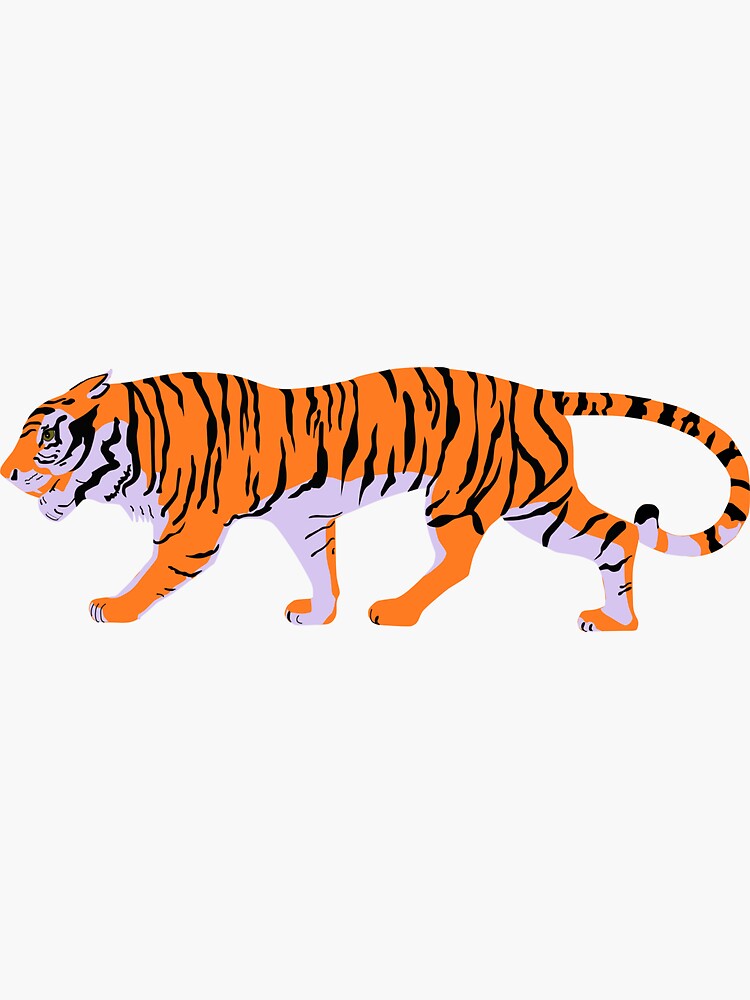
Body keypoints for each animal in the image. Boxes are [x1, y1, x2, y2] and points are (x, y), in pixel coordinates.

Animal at [2, 368, 747, 630]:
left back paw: (397, 611)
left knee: (458, 562)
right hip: (540, 504)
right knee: (617, 534)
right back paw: (619, 622)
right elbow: (321, 567)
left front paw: (116, 607)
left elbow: (155, 571)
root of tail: (536, 391)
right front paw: (318, 614)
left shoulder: (194, 528)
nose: (6, 474)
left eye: (42, 442)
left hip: (466, 499)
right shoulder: (304, 517)